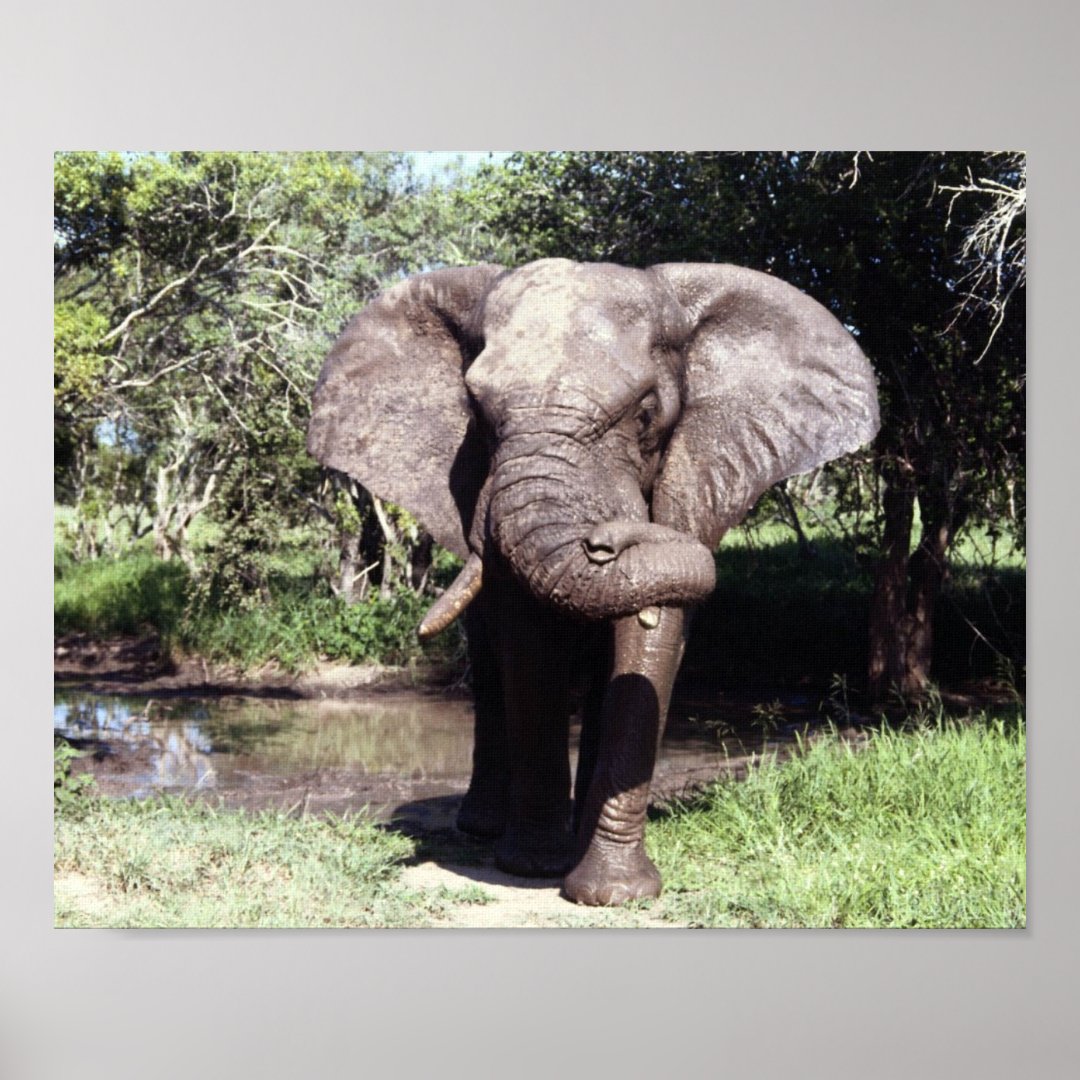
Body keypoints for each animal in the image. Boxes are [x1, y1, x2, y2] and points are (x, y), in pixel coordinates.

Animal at [307, 258, 879, 906]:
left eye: (646, 414)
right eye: (475, 413)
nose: (605, 539)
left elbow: (652, 642)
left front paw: (614, 893)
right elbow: (531, 642)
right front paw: (533, 868)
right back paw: (483, 830)